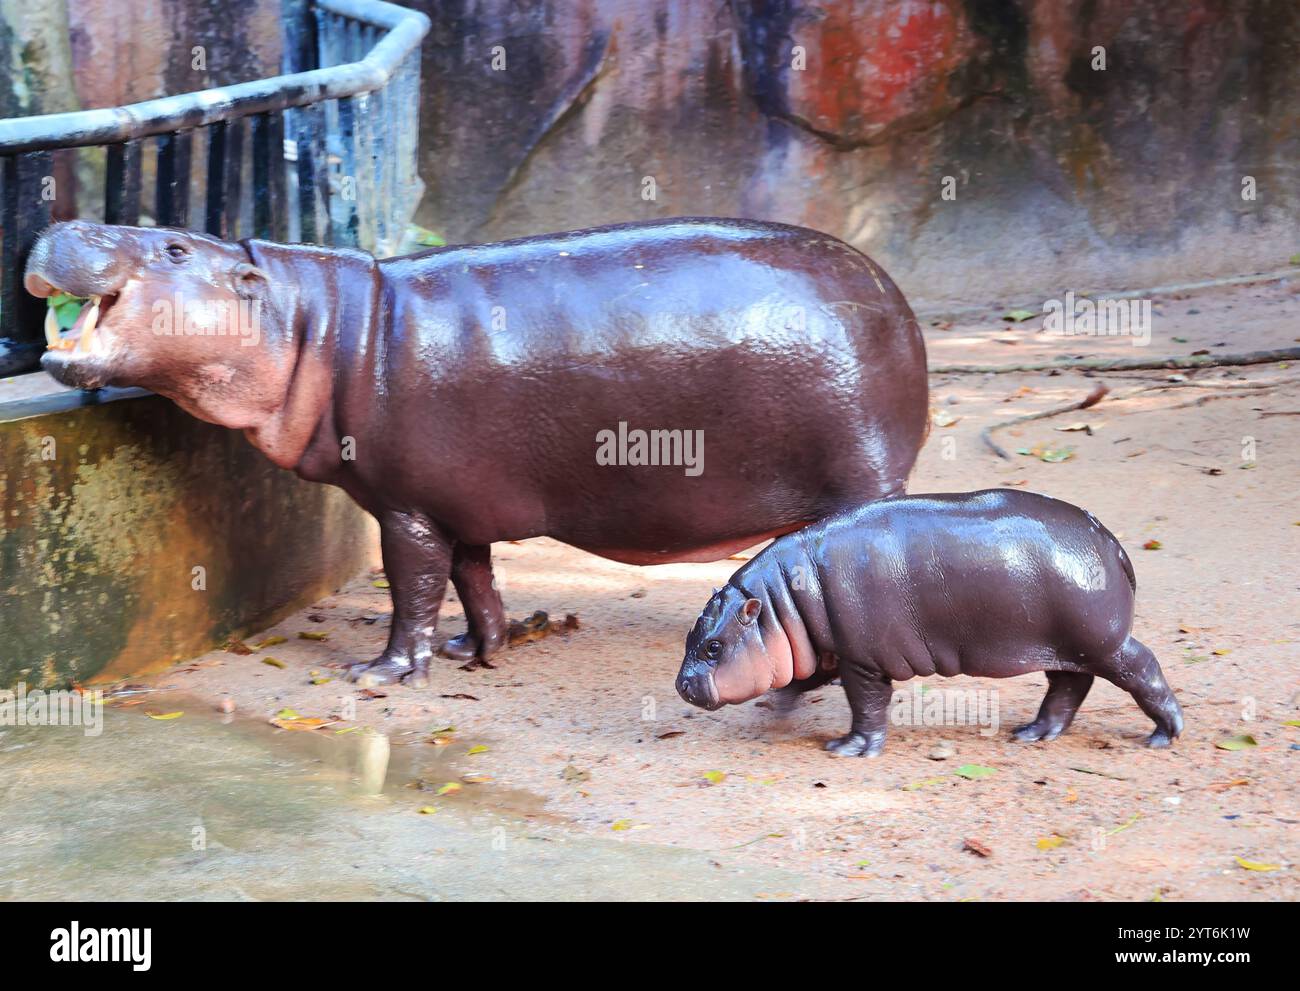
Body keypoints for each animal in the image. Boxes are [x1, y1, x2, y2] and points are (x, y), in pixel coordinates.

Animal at [27, 217, 929, 686]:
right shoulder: (456, 501)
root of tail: (894, 296)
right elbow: (474, 580)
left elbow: (413, 587)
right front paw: (479, 651)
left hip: (860, 478)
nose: (65, 222)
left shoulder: (404, 507)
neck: (318, 323)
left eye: (176, 247)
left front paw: (385, 672)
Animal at [676, 490, 1184, 754]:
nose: (681, 684)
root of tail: (1110, 539)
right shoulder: (829, 651)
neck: (780, 601)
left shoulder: (862, 661)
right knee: (1069, 685)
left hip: (1101, 641)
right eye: (690, 636)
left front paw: (850, 748)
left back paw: (1163, 735)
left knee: (1142, 666)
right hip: (1065, 645)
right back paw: (1032, 733)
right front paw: (776, 712)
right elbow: (800, 683)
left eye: (714, 647)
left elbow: (868, 705)